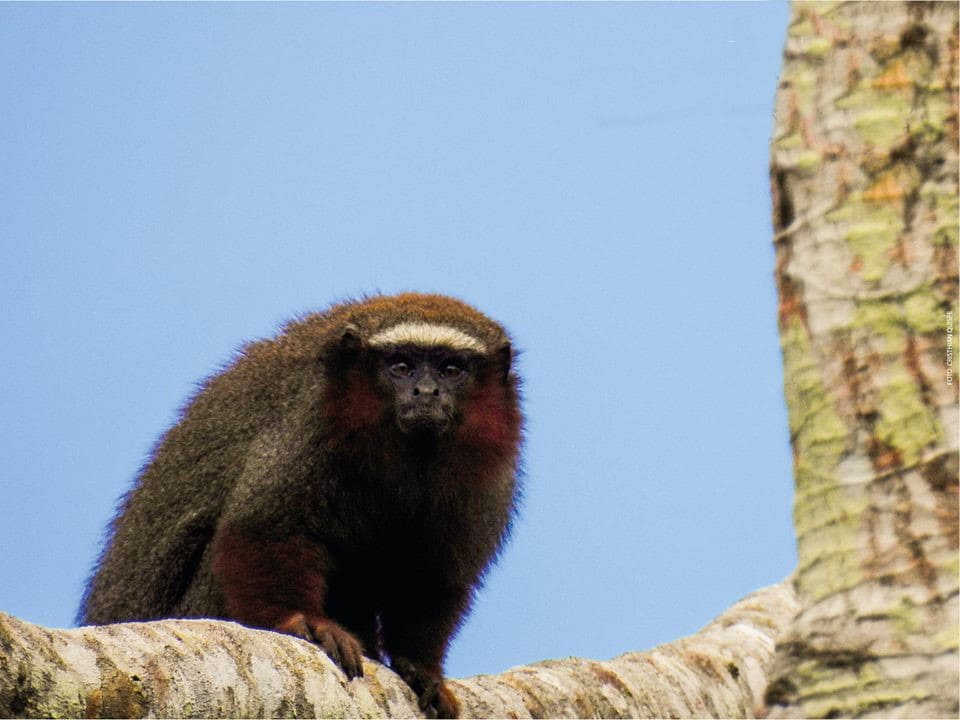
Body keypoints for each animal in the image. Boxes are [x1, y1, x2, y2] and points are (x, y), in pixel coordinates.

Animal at [78, 293, 523, 719]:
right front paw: (300, 619)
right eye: (401, 366)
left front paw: (420, 667)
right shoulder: (308, 421)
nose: (427, 392)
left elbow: (434, 575)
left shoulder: (491, 474)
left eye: (451, 370)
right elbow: (264, 527)